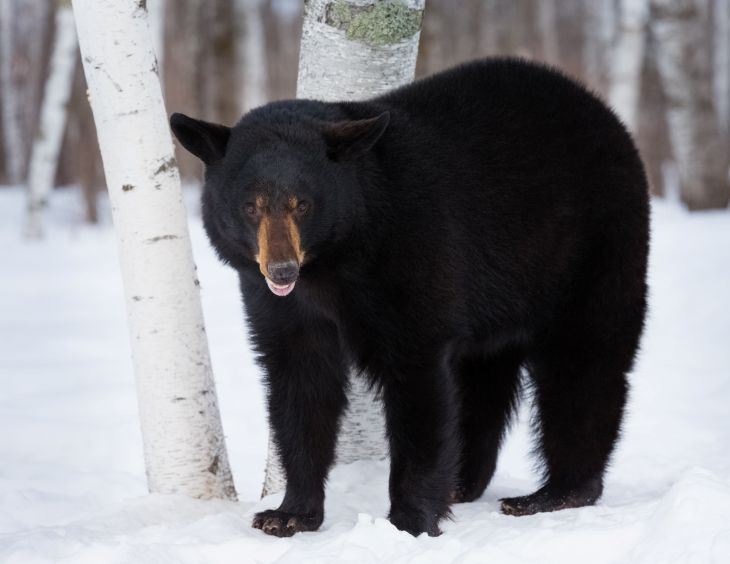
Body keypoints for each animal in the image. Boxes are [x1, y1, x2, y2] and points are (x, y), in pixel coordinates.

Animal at [170, 57, 649, 538]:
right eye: (250, 206)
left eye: (301, 204)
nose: (282, 269)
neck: (334, 264)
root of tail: (606, 115)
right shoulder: (282, 304)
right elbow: (301, 382)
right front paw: (288, 513)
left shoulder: (412, 257)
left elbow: (418, 383)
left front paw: (409, 520)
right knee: (482, 382)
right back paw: (463, 482)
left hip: (592, 250)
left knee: (584, 363)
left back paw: (553, 494)